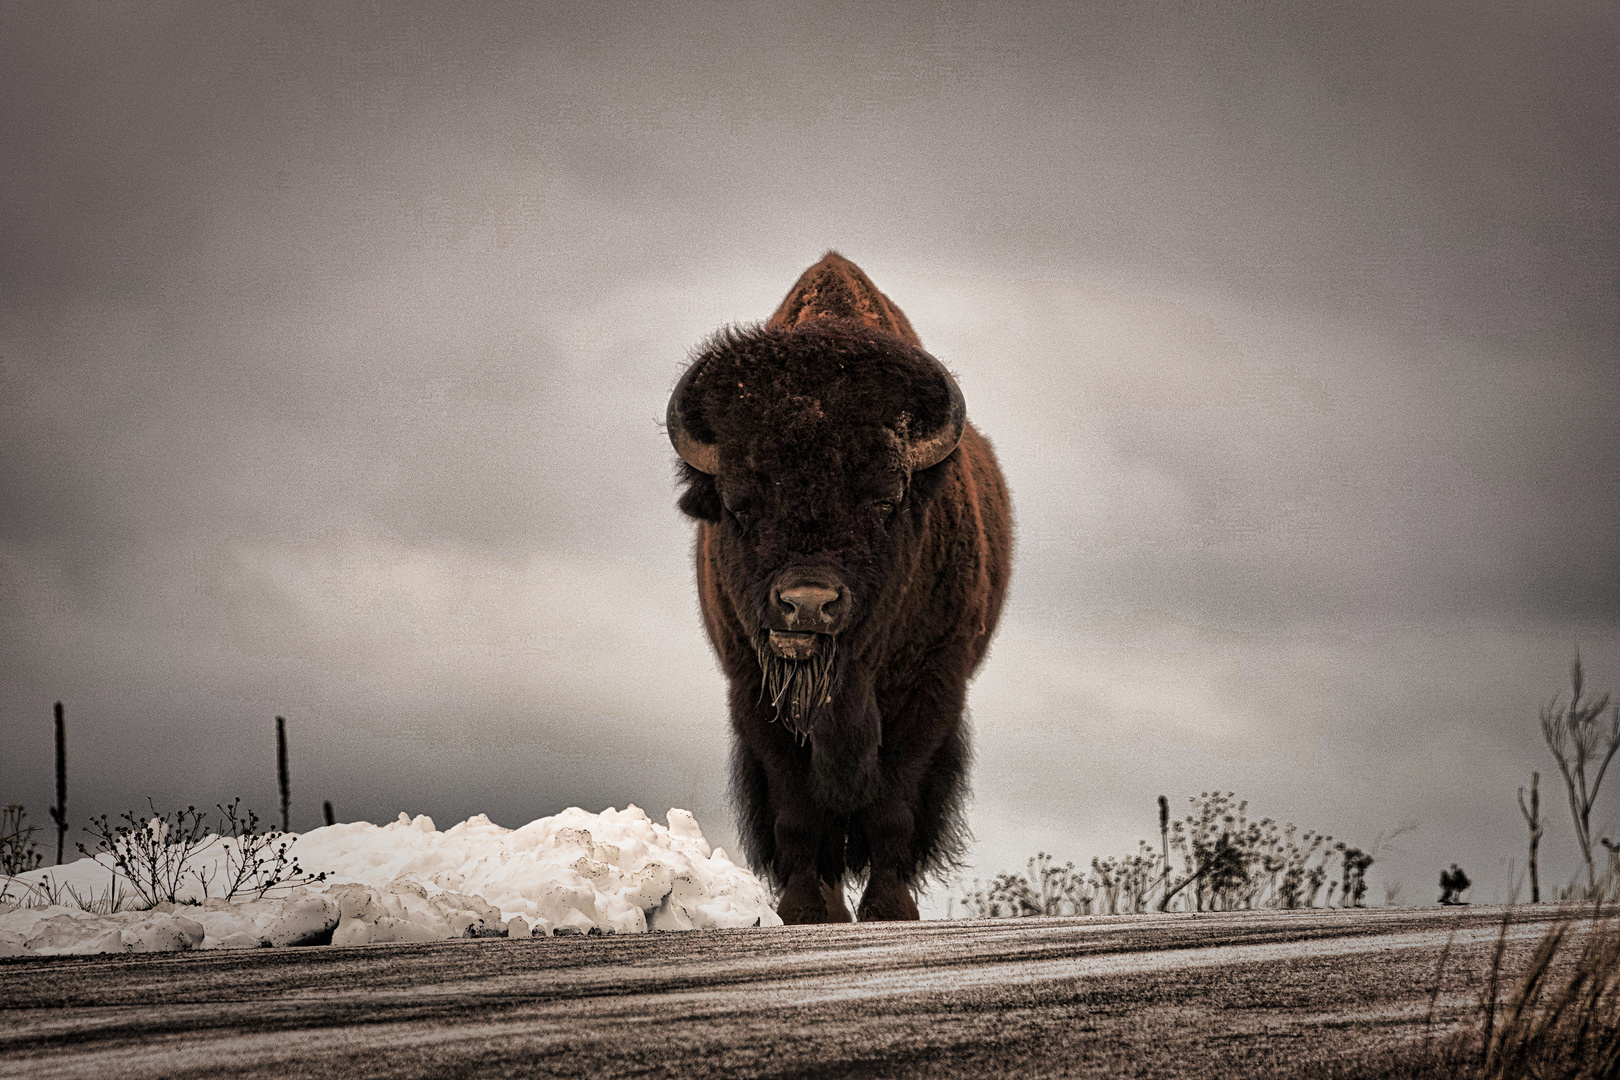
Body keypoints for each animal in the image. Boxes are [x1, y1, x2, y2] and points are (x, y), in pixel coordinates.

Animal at [667, 253, 1011, 923]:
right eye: (740, 504)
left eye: (884, 499)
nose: (807, 604)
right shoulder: (754, 692)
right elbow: (797, 809)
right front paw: (805, 909)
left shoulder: (931, 687)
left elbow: (895, 802)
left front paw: (890, 907)